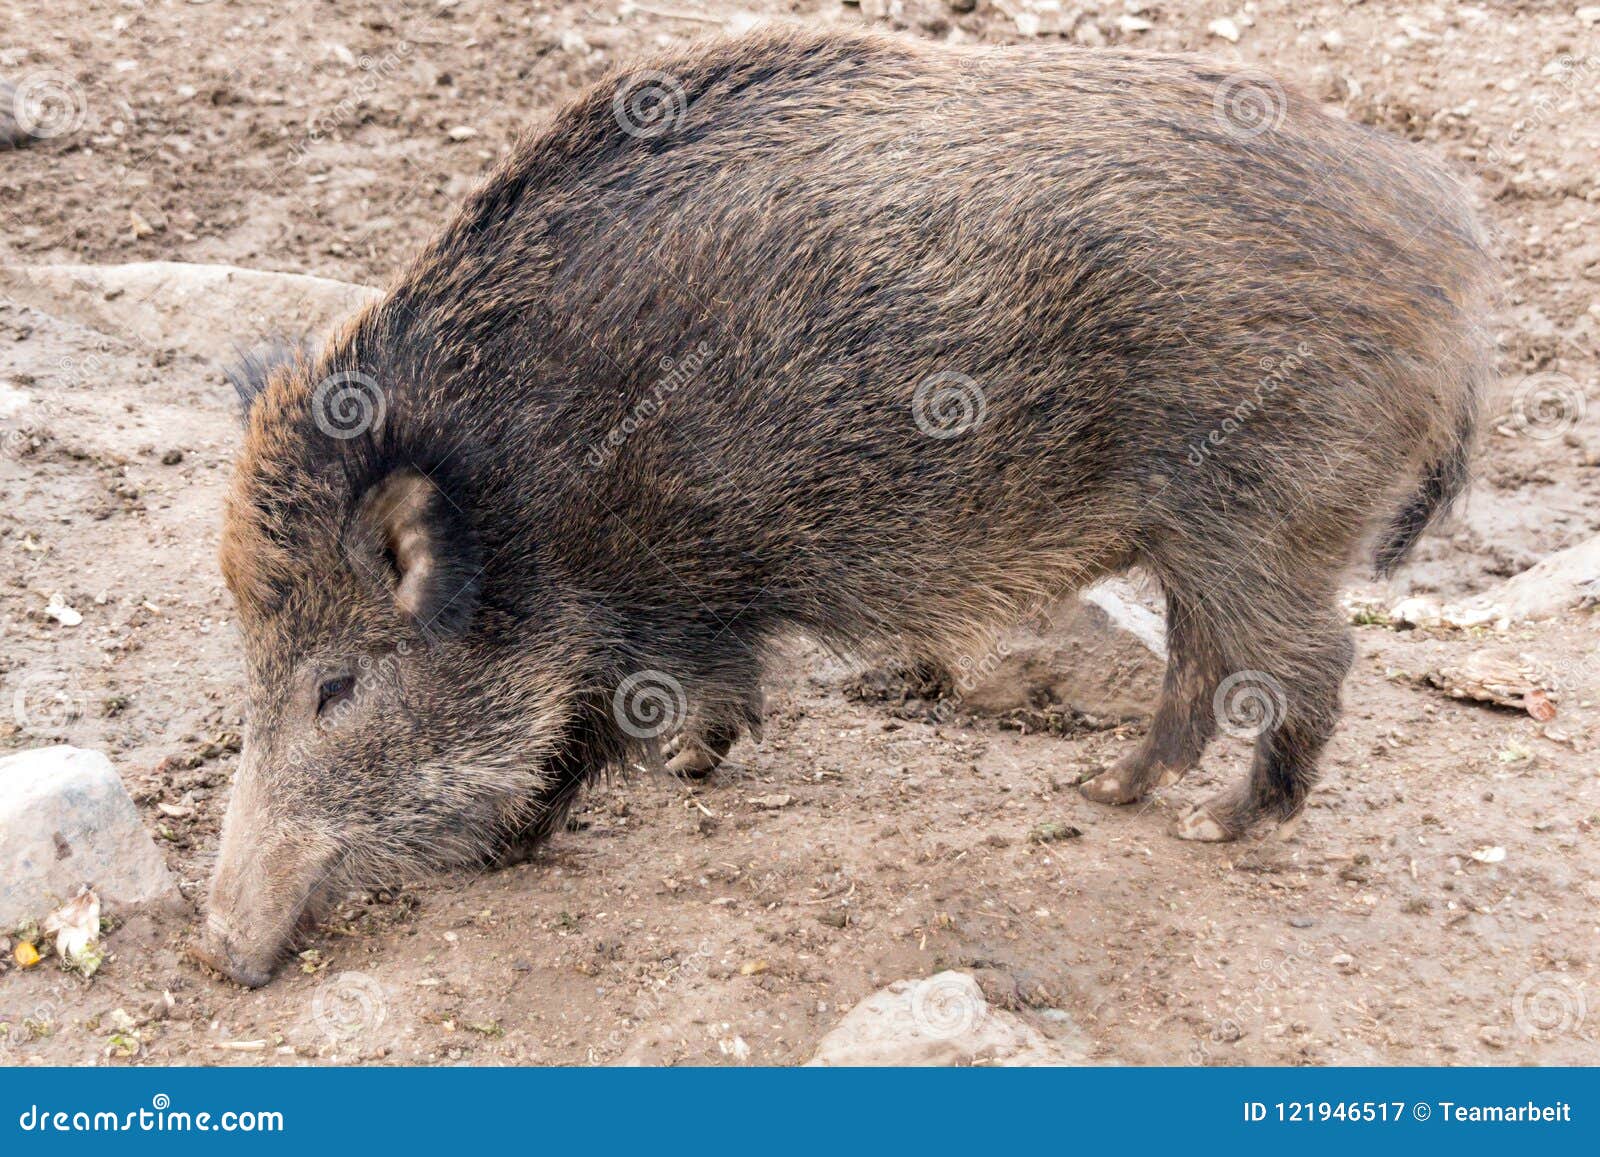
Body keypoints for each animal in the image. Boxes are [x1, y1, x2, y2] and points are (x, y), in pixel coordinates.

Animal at [197, 25, 1495, 985]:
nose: (221, 952)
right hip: (1208, 534)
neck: (515, 491)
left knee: (1310, 658)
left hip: (1271, 510)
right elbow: (709, 696)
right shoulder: (688, 602)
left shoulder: (639, 596)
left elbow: (592, 731)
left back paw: (1216, 825)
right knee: (1202, 660)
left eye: (337, 685)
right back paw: (1105, 791)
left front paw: (533, 836)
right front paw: (695, 768)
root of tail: (1455, 253)